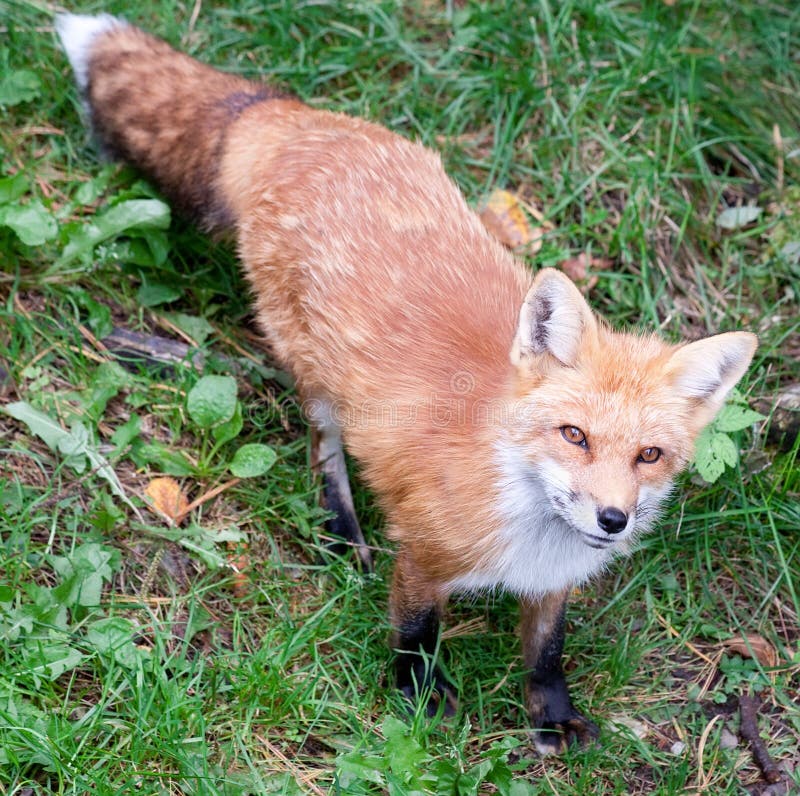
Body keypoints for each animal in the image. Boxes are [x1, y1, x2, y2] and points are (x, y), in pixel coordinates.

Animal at [56, 13, 757, 753]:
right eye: (575, 436)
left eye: (650, 455)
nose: (612, 519)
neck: (527, 524)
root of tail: (300, 122)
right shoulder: (422, 554)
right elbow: (417, 632)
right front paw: (420, 698)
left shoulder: (553, 584)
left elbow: (546, 650)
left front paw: (551, 715)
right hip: (316, 380)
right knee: (323, 449)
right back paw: (339, 529)